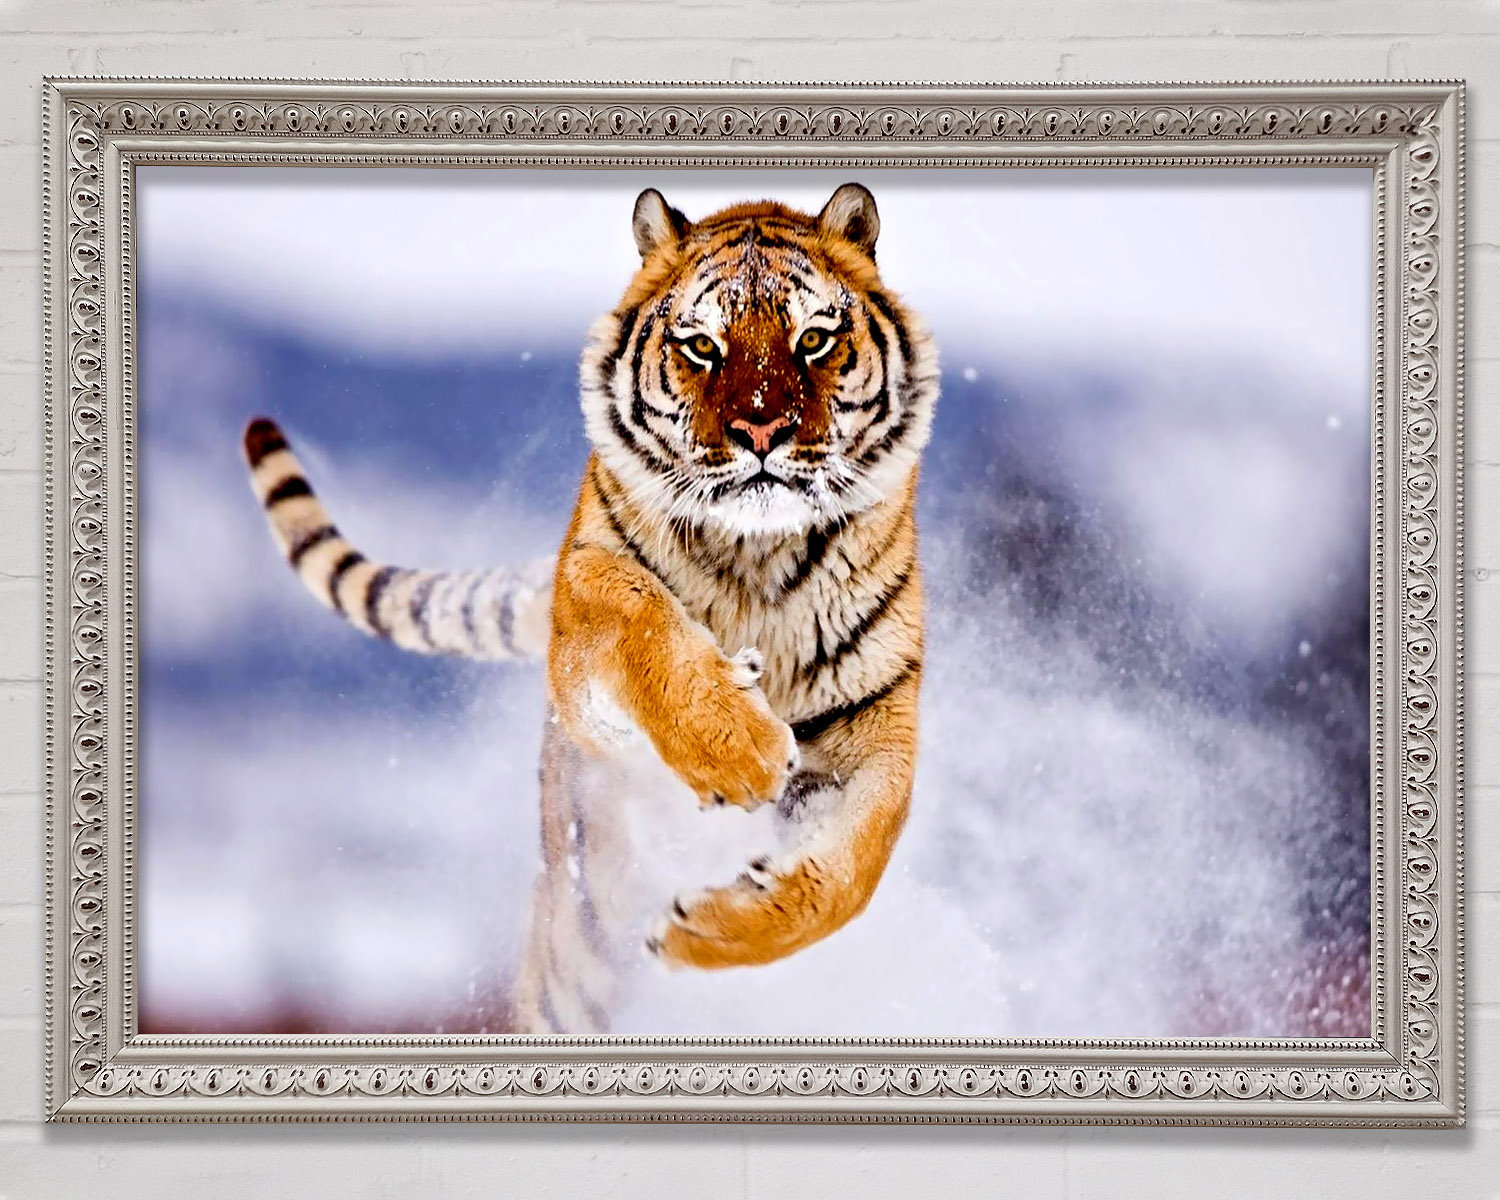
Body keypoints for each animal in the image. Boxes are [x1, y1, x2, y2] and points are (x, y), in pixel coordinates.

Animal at [241, 182, 939, 1034]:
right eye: (701, 346)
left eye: (813, 339)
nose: (761, 428)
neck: (757, 556)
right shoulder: (585, 623)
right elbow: (639, 615)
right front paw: (740, 750)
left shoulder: (874, 725)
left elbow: (850, 872)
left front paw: (705, 930)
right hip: (573, 960)